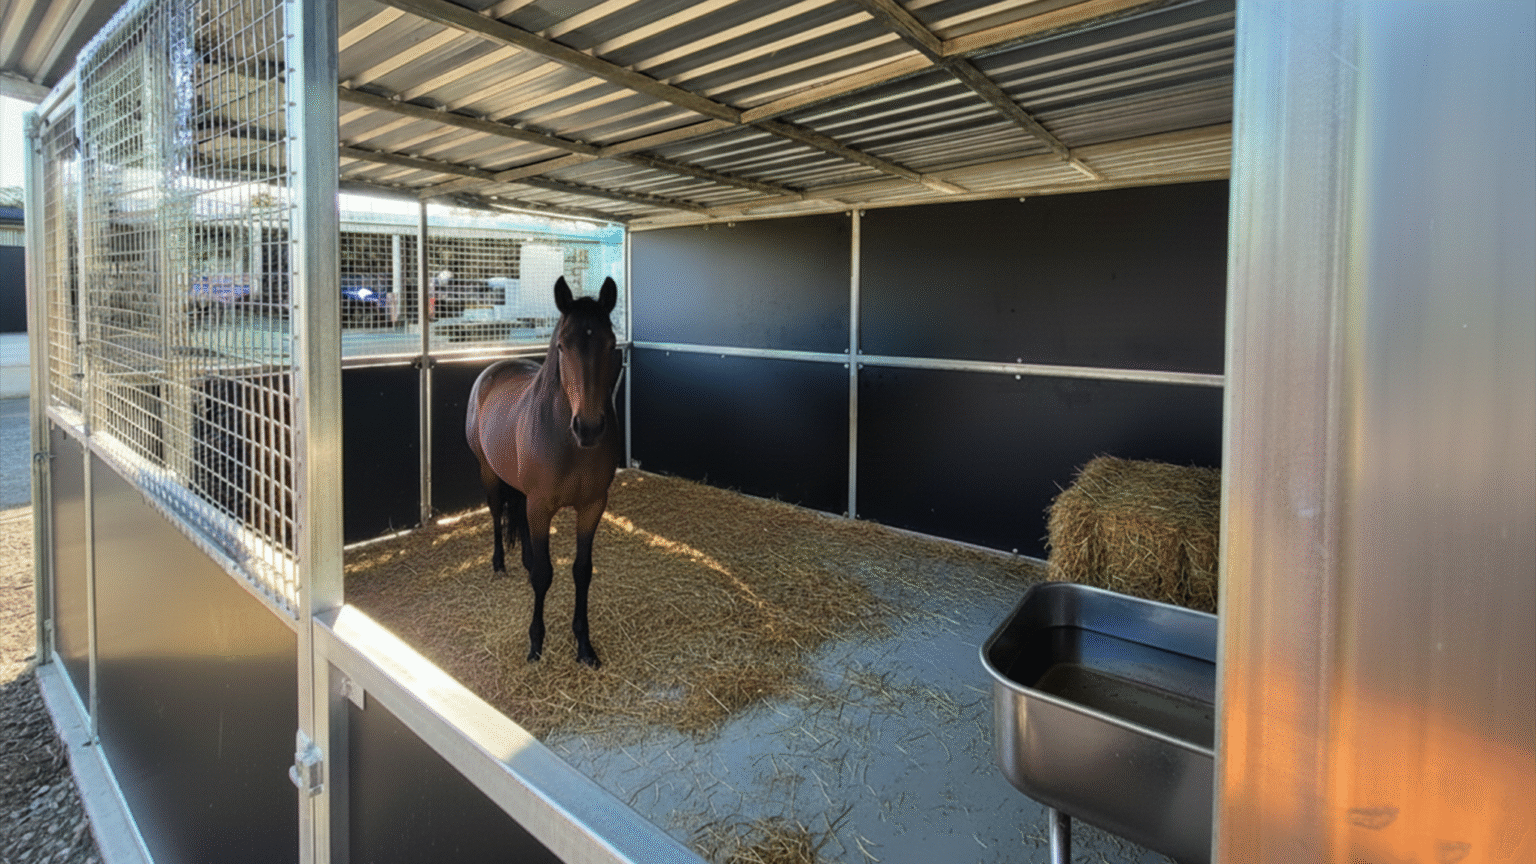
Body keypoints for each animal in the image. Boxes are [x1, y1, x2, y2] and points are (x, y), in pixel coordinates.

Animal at [465, 276, 621, 667]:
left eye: (611, 343)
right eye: (563, 346)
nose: (589, 428)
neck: (571, 445)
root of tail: (492, 372)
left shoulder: (593, 506)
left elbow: (582, 571)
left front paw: (584, 645)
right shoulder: (541, 507)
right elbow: (543, 574)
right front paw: (536, 643)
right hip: (489, 473)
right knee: (497, 514)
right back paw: (500, 564)